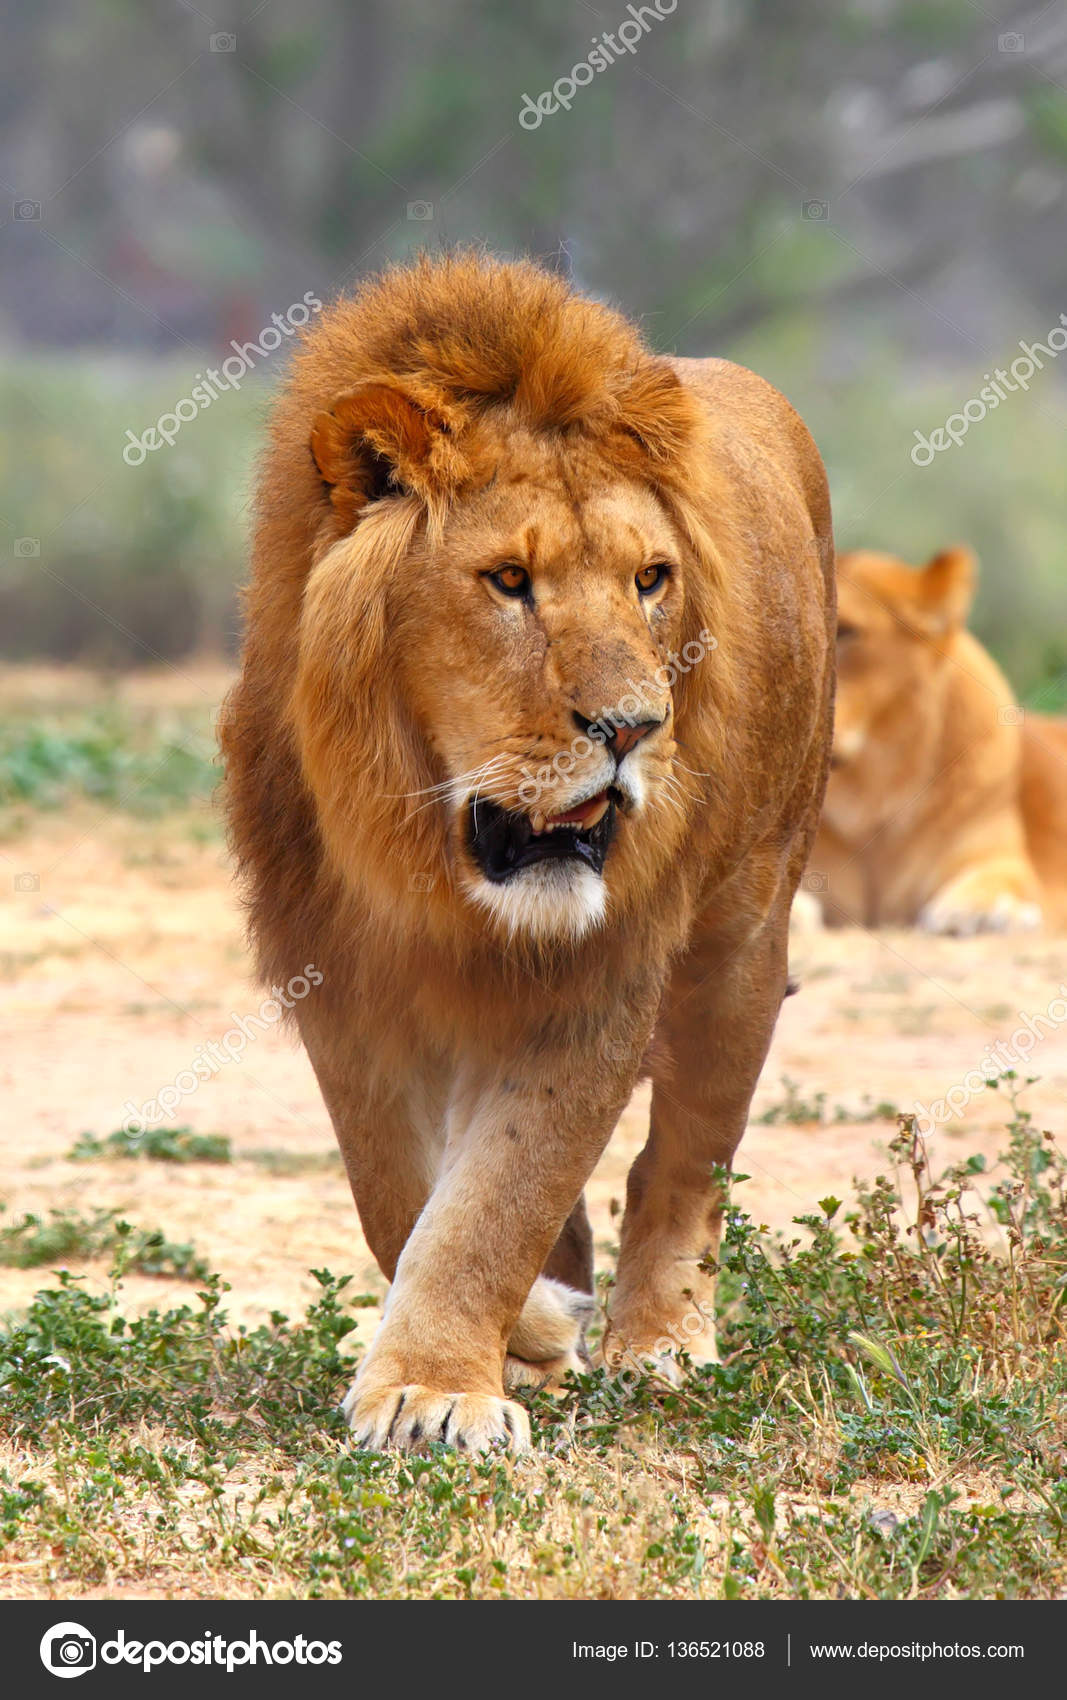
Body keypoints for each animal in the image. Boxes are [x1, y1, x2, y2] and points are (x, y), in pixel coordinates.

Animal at [222, 252, 834, 1453]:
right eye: (508, 580)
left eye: (649, 578)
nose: (634, 726)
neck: (430, 866)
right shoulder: (337, 982)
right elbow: (397, 1189)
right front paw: (527, 1334)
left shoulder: (596, 981)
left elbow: (498, 1196)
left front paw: (433, 1389)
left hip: (742, 943)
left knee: (682, 1158)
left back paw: (659, 1344)